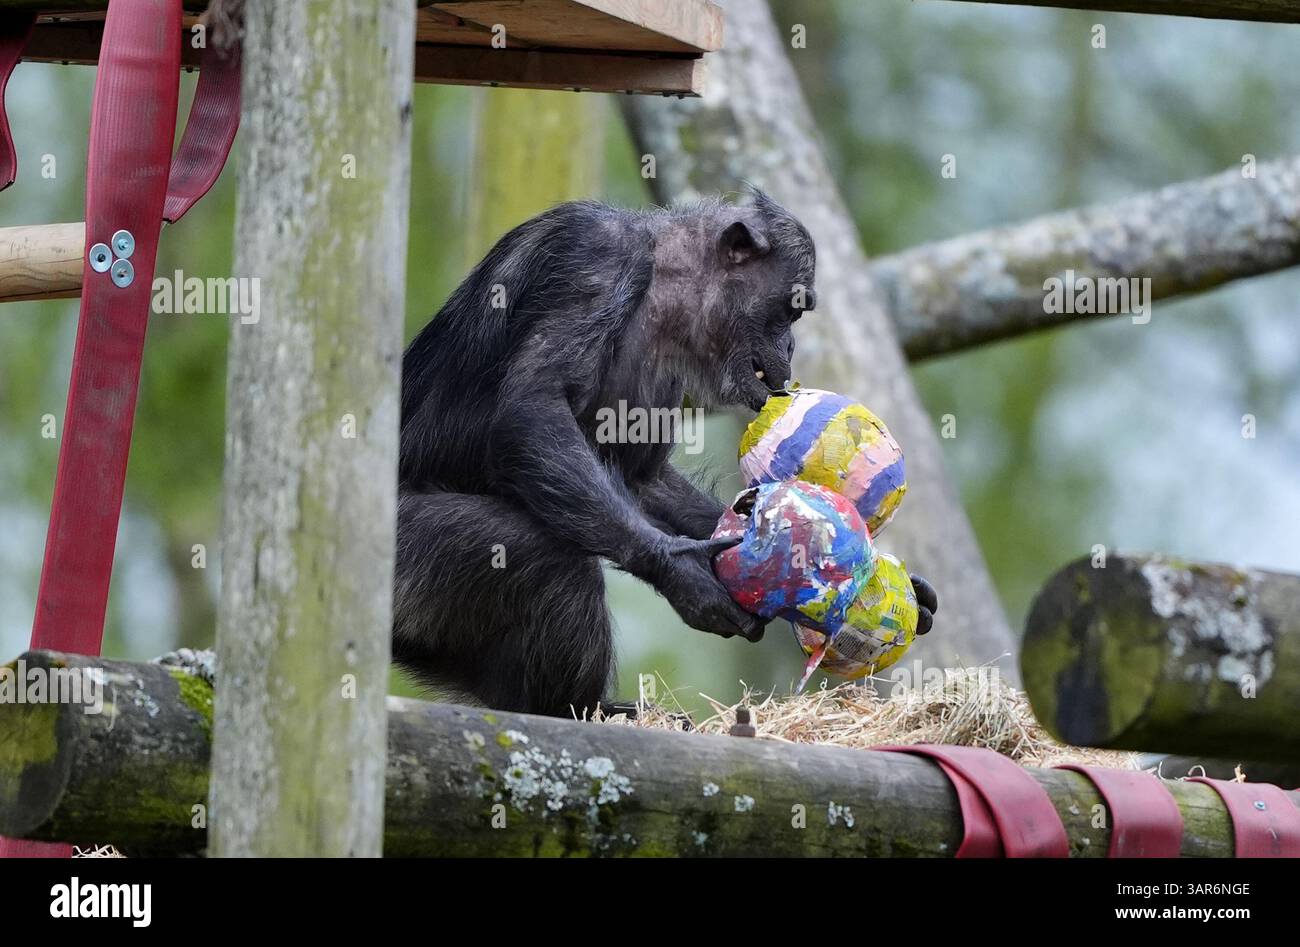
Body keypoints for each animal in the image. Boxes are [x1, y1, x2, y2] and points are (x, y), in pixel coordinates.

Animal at [393, 190, 936, 718]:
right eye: (793, 308)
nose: (791, 344)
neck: (662, 279)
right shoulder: (594, 259)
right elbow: (535, 407)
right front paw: (682, 570)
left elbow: (642, 476)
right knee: (547, 560)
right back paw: (580, 710)